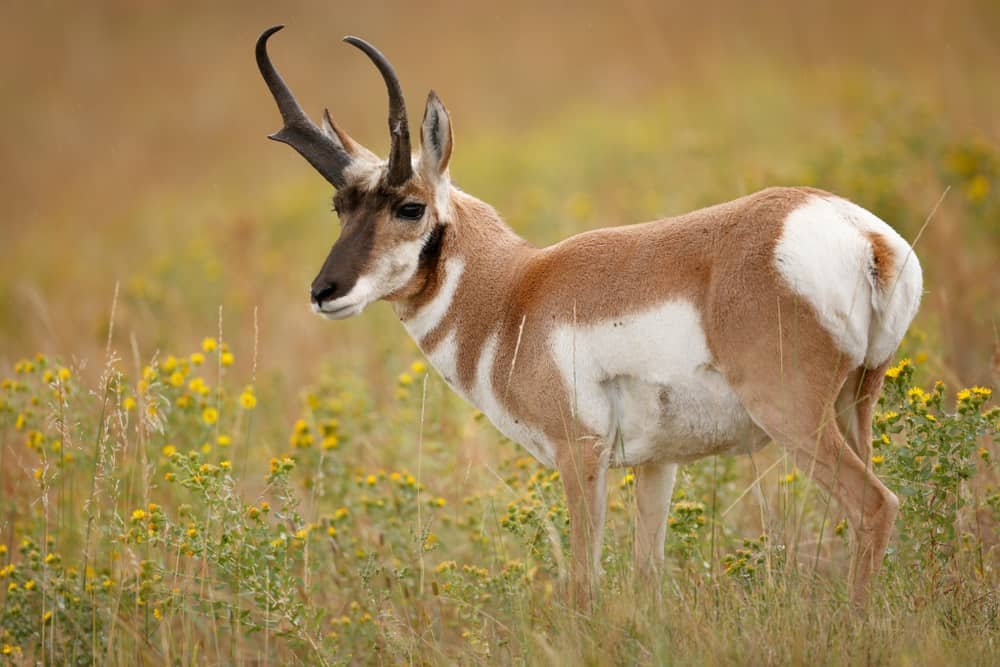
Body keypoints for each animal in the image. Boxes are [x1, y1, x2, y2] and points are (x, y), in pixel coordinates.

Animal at [255, 25, 923, 607]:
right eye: (340, 205)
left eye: (410, 207)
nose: (325, 291)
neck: (516, 292)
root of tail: (862, 234)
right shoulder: (658, 465)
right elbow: (648, 575)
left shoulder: (579, 455)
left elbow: (584, 583)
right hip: (855, 407)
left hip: (794, 419)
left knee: (875, 506)